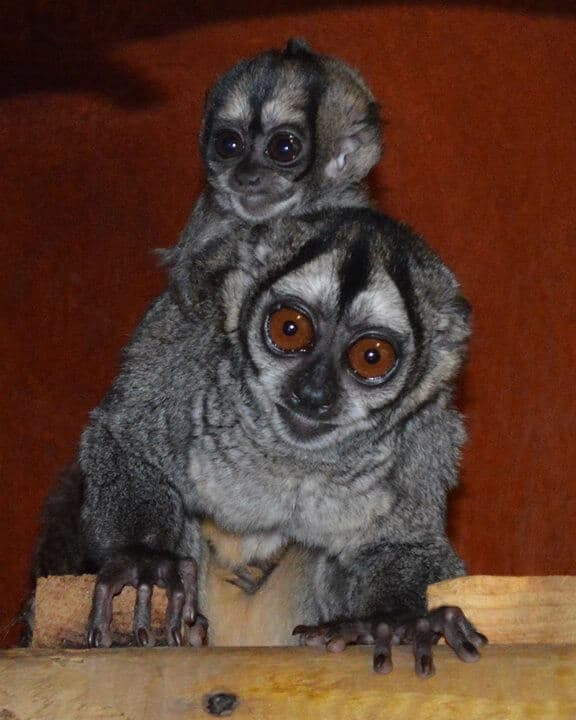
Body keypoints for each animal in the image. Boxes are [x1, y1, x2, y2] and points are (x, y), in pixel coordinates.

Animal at [27, 208, 486, 676]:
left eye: (371, 356)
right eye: (290, 329)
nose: (314, 393)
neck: (291, 453)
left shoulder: (427, 432)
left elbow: (405, 541)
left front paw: (394, 622)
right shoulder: (187, 346)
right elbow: (127, 440)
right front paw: (144, 562)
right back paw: (189, 631)